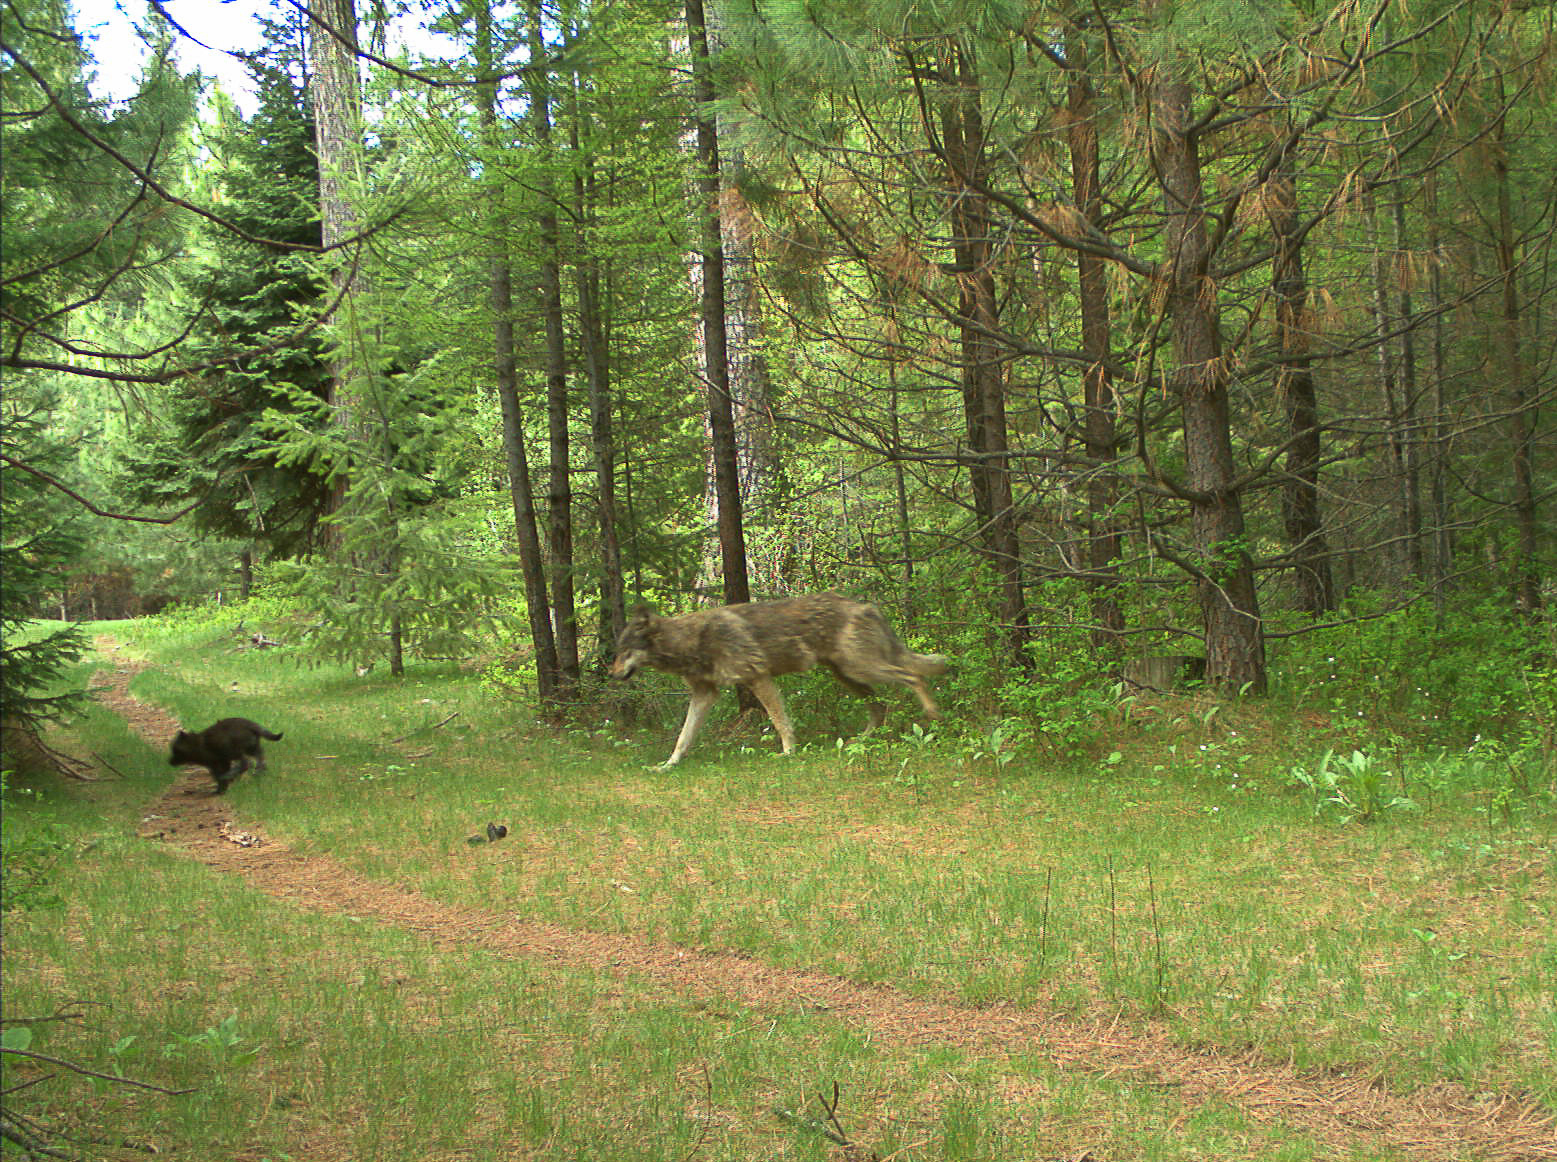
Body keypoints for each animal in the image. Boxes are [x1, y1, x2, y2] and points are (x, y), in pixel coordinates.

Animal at [609, 593, 948, 768]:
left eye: (624, 652)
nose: (611, 675)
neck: (691, 641)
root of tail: (868, 606)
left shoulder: (758, 677)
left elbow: (781, 722)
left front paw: (788, 753)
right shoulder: (705, 694)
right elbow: (683, 737)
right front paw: (668, 765)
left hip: (861, 669)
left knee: (913, 676)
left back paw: (932, 714)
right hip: (849, 675)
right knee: (879, 708)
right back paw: (860, 741)